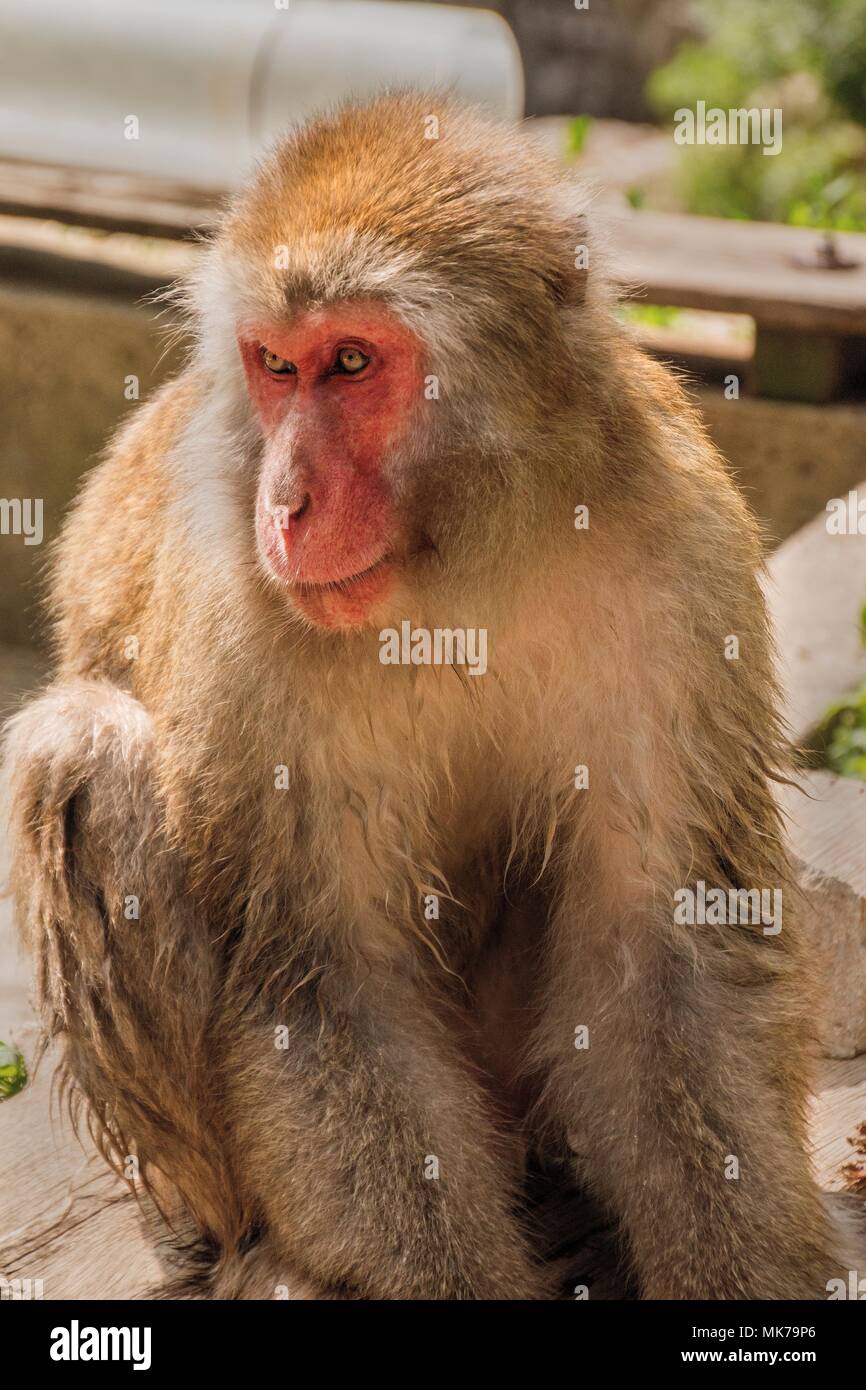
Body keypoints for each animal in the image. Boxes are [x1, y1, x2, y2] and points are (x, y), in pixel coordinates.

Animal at [5, 91, 865, 1301]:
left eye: (351, 361)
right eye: (275, 366)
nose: (287, 501)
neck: (455, 567)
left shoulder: (680, 546)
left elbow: (665, 950)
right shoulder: (243, 606)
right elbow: (323, 988)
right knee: (83, 751)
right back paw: (252, 1247)